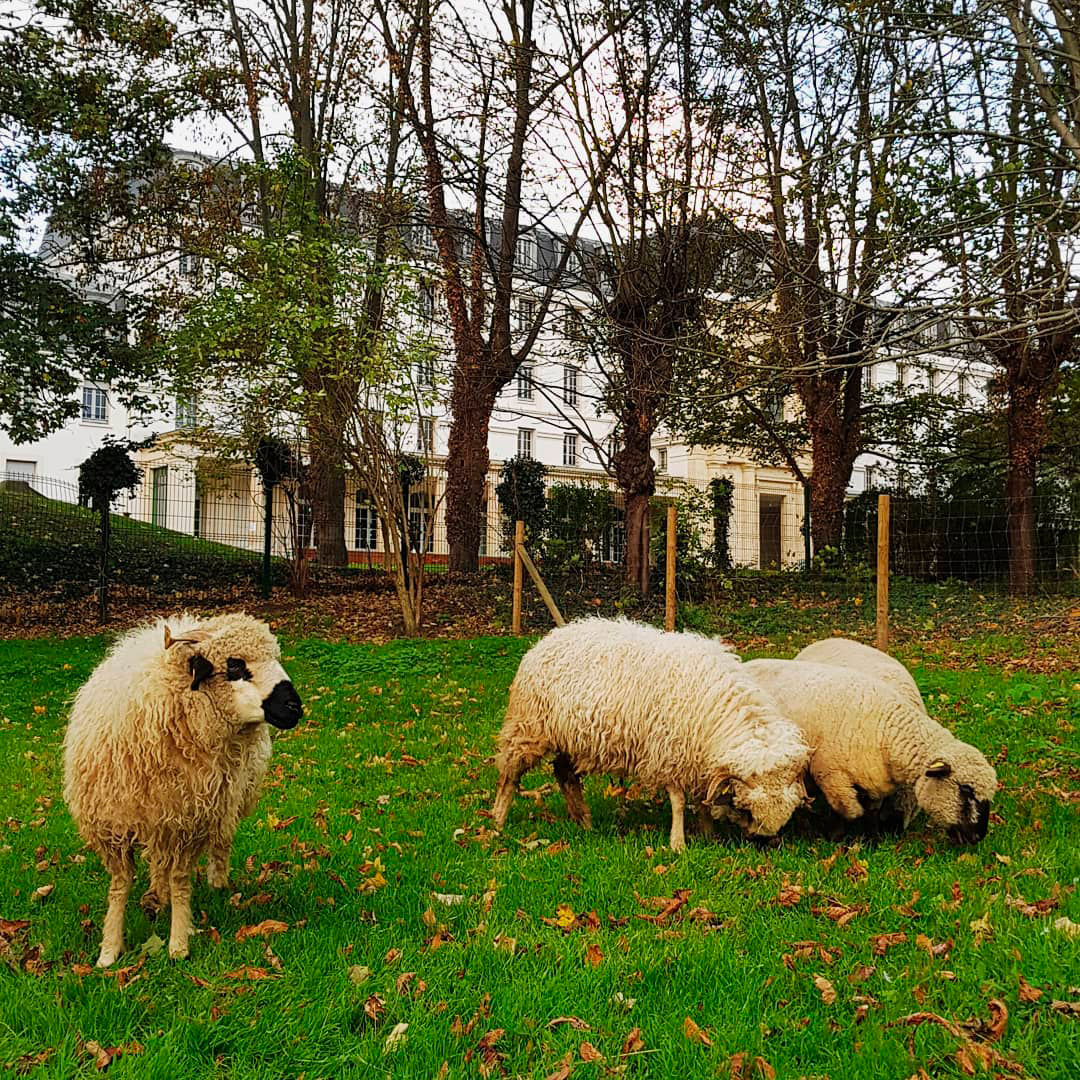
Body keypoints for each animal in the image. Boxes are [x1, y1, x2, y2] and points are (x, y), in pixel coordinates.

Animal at [63, 613, 304, 967]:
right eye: (235, 665)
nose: (294, 707)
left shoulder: (188, 821)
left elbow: (180, 881)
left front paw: (178, 944)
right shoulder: (114, 823)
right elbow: (120, 884)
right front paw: (109, 950)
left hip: (224, 803)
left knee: (220, 843)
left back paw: (215, 883)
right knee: (159, 861)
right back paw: (155, 896)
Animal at [494, 622, 807, 846]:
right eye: (747, 808)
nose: (765, 841)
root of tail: (546, 640)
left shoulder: (697, 759)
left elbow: (702, 802)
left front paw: (708, 834)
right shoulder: (669, 752)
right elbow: (679, 802)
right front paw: (678, 844)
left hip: (571, 737)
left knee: (564, 774)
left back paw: (584, 821)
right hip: (529, 726)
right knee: (510, 773)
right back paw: (497, 822)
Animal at [743, 656, 993, 842]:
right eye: (966, 790)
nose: (978, 837)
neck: (886, 729)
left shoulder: (874, 780)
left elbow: (872, 811)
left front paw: (872, 838)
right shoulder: (831, 774)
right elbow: (847, 810)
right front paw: (834, 836)